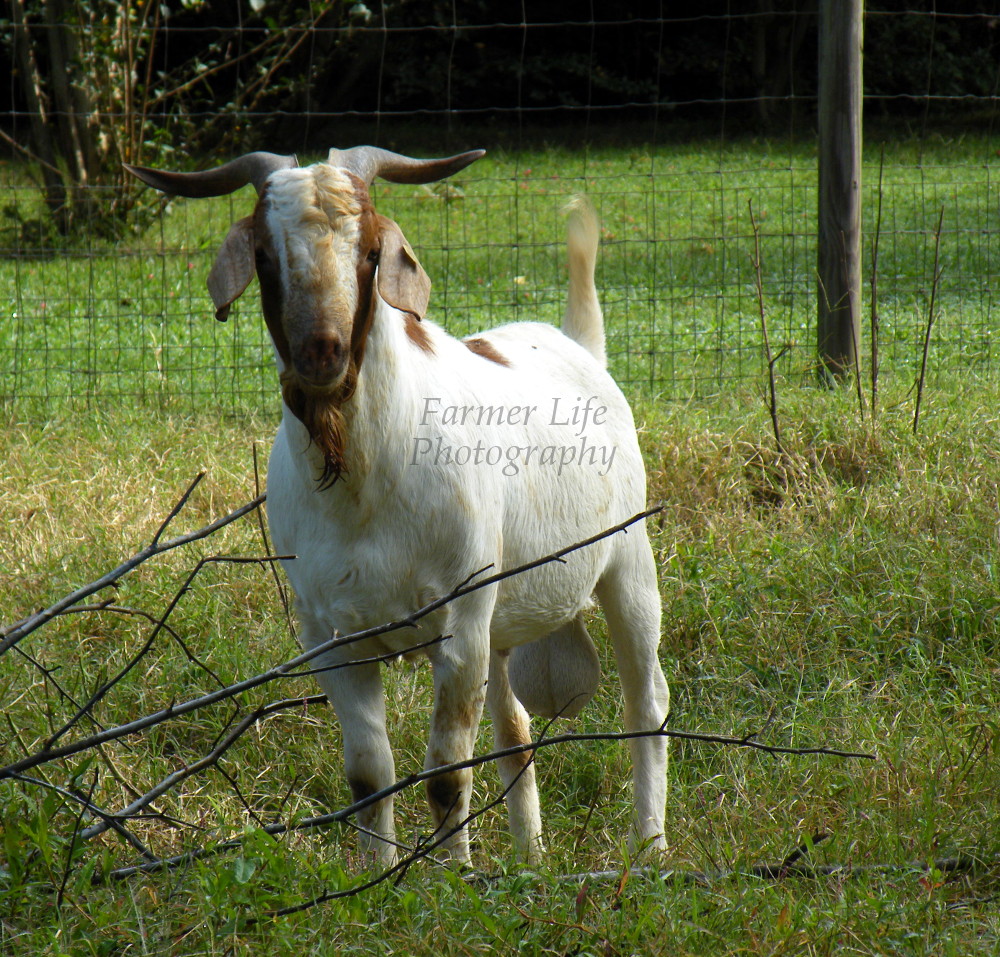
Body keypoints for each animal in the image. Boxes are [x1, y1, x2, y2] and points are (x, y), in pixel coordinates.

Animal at [125, 147, 670, 866]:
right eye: (265, 255)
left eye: (370, 250)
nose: (321, 352)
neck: (362, 479)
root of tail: (580, 347)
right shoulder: (329, 635)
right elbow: (369, 775)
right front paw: (380, 875)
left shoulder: (459, 623)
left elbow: (446, 775)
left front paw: (454, 876)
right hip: (502, 620)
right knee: (516, 728)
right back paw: (530, 859)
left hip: (627, 562)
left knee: (646, 704)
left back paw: (650, 848)